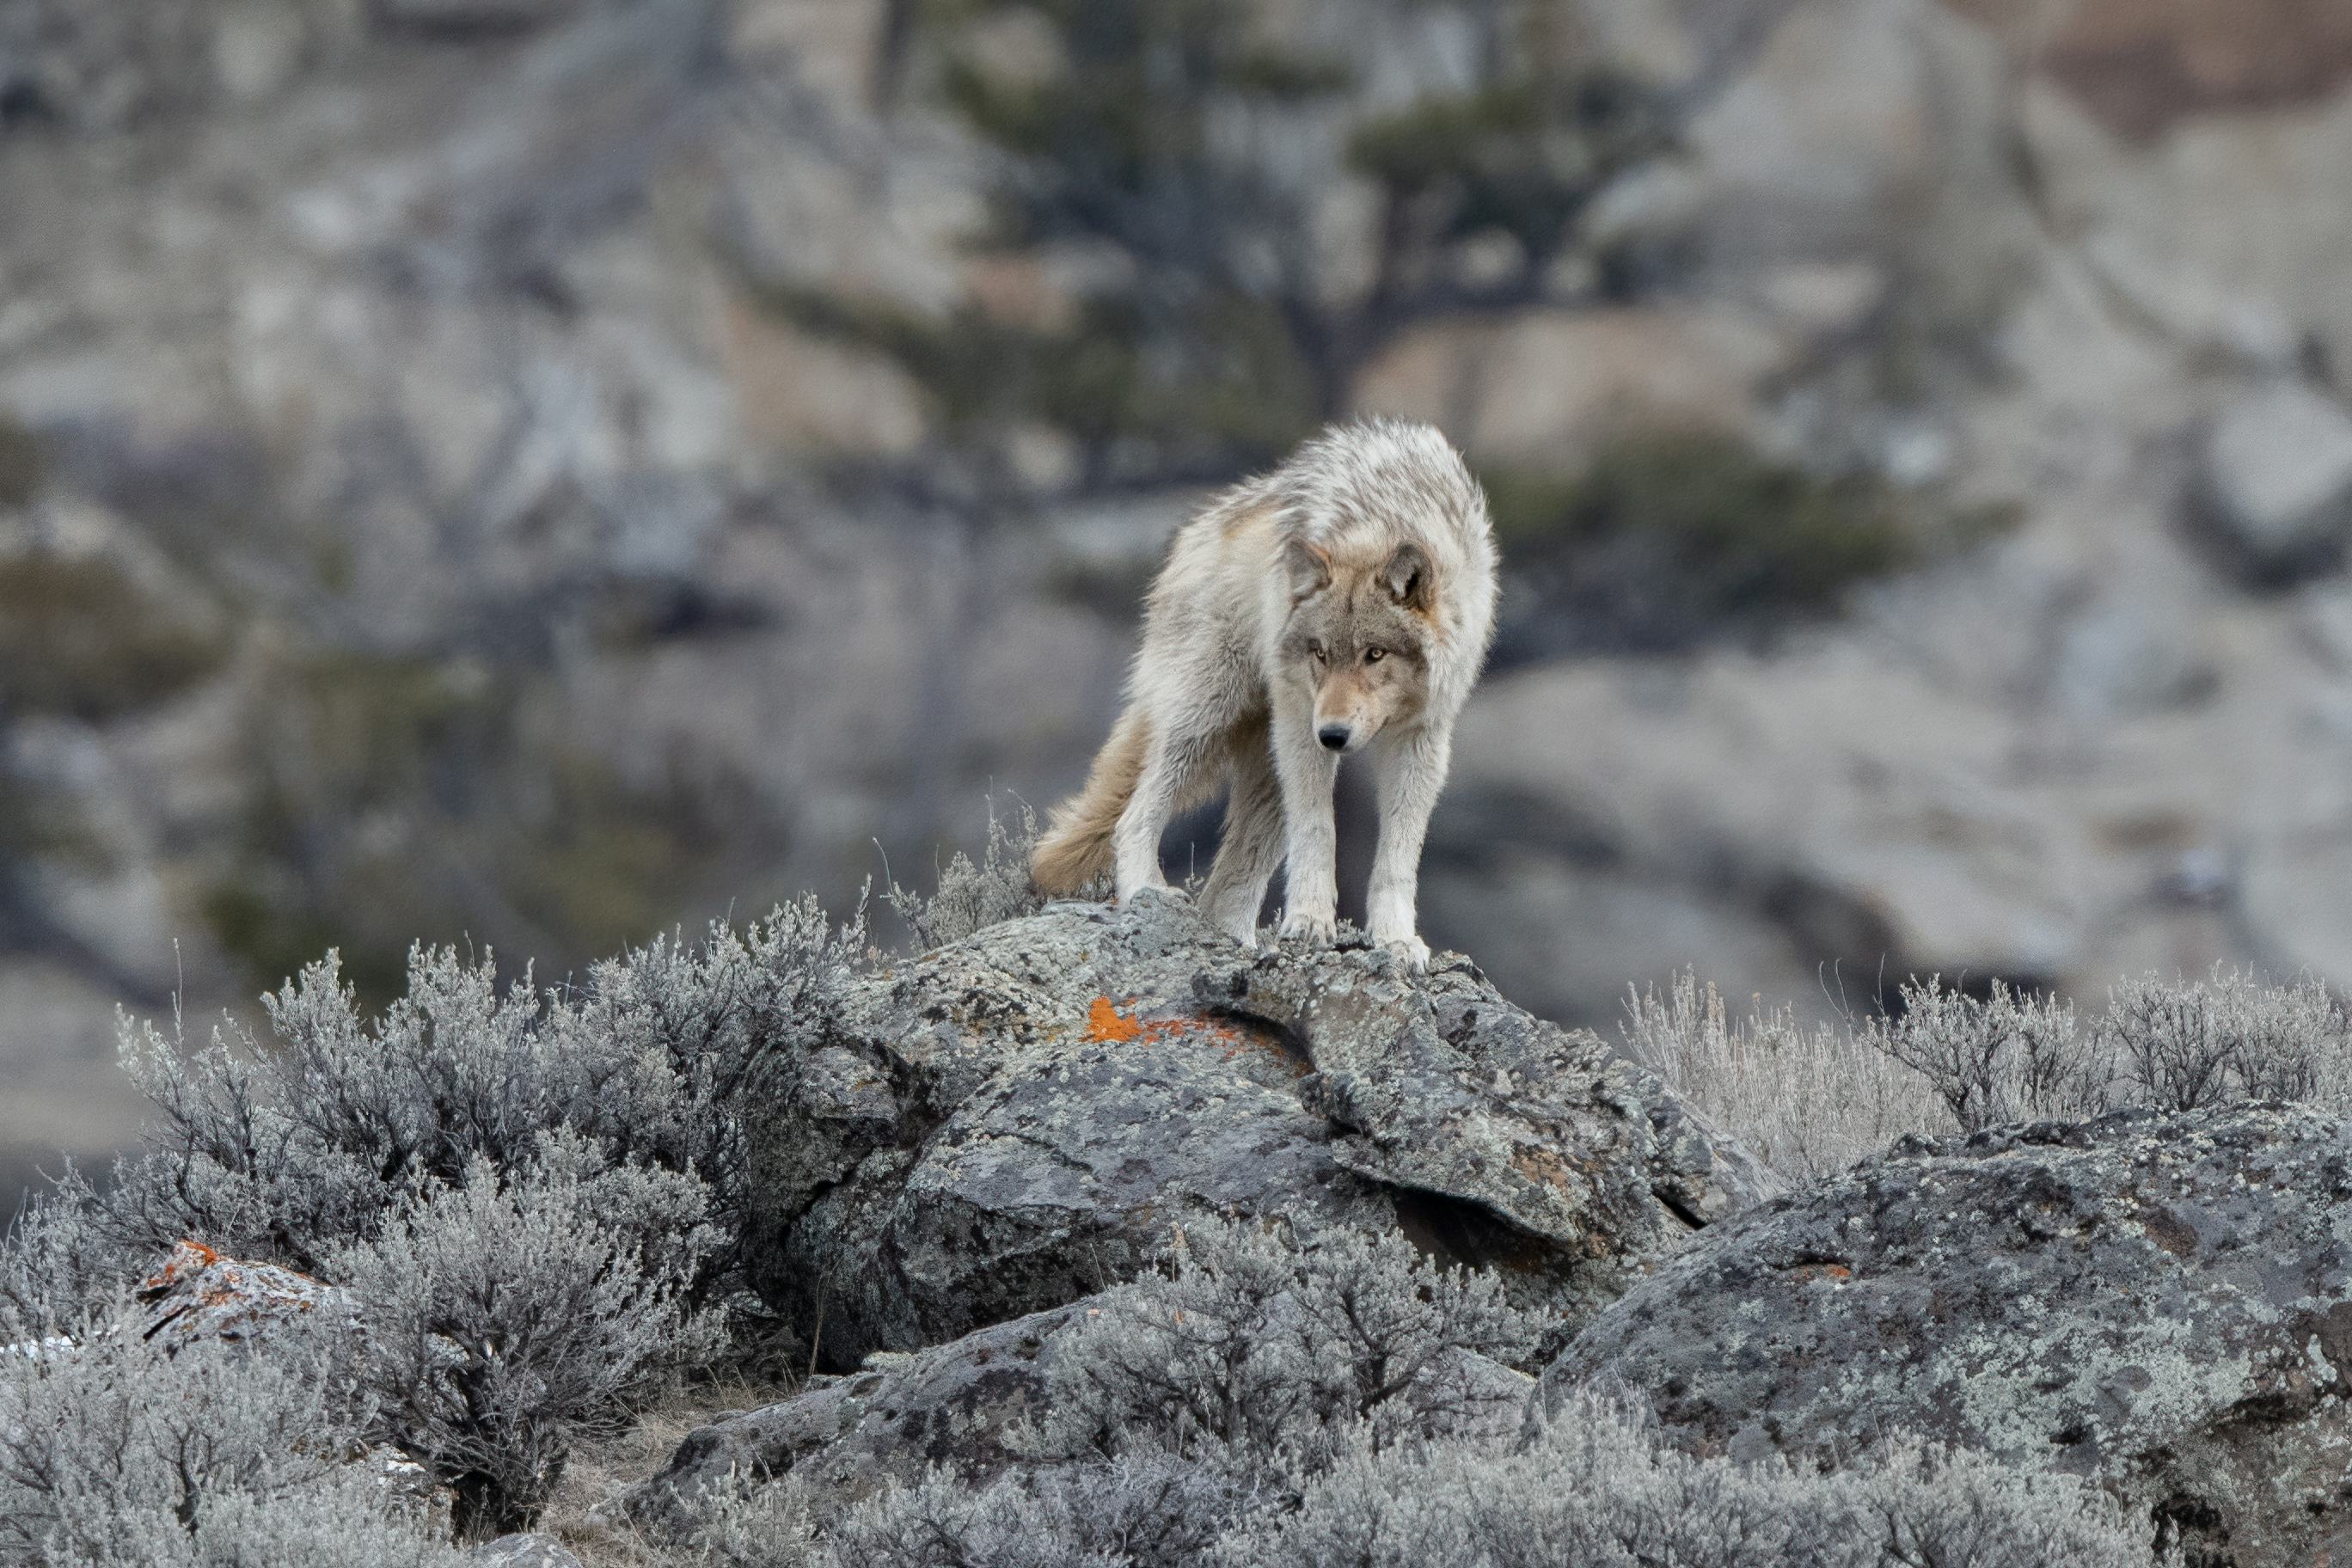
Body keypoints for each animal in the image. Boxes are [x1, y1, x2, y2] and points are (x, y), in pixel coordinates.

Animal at [1031, 418, 1498, 970]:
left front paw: (1397, 941)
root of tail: (1193, 531)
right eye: (1320, 653)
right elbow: (1319, 831)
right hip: (1207, 722)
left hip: (1267, 773)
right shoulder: (1300, 721)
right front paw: (1311, 923)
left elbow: (1399, 857)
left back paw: (1236, 943)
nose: (1333, 736)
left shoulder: (1422, 737)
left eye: (1375, 654)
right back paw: (1149, 891)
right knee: (1134, 816)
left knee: (1224, 888)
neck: (1376, 523)